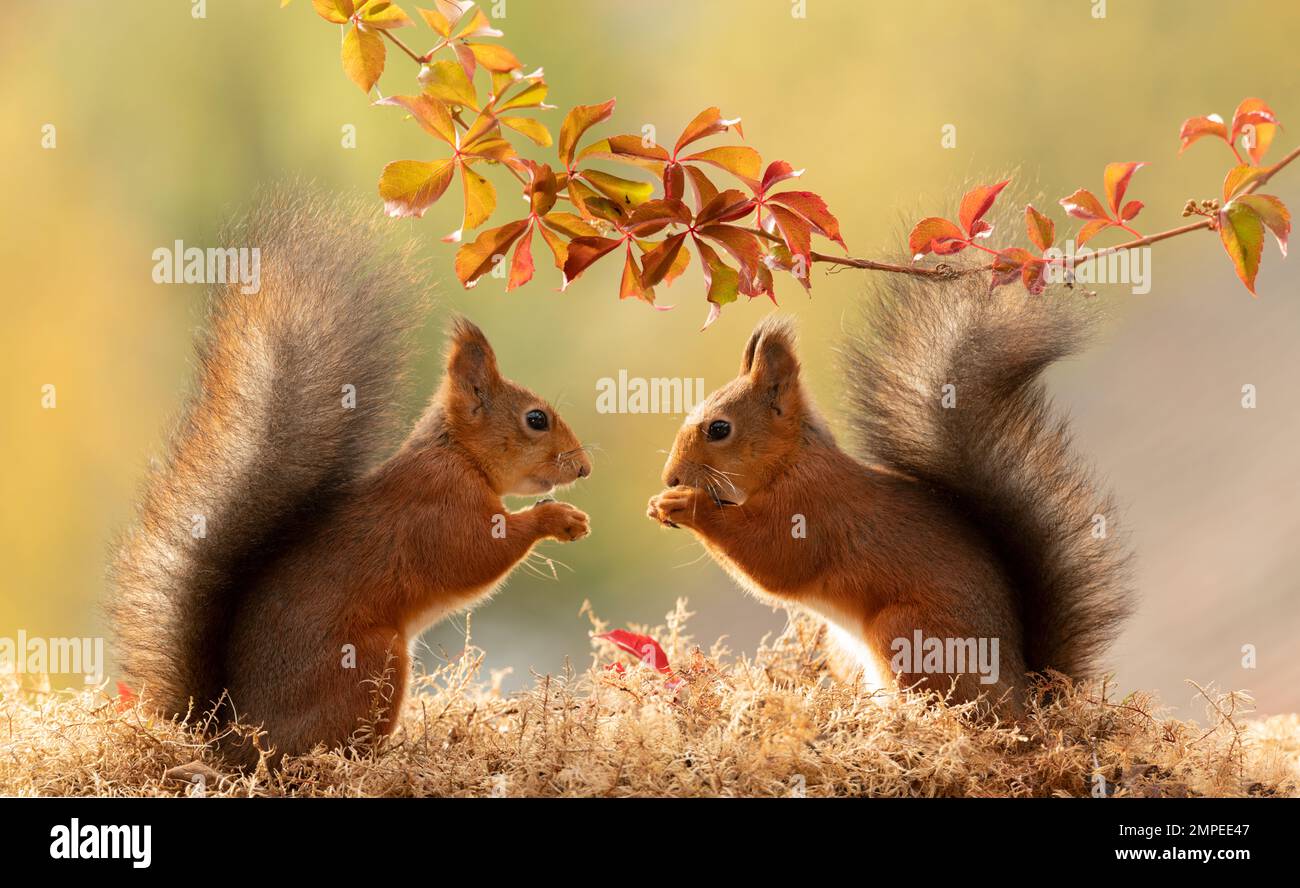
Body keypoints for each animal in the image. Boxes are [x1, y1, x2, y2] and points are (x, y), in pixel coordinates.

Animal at [109, 190, 592, 766]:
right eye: (536, 419)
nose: (584, 467)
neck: (458, 456)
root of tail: (231, 737)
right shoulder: (439, 508)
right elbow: (476, 555)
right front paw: (557, 518)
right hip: (371, 661)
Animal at [648, 273, 1133, 716]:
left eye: (719, 428)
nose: (670, 478)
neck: (790, 464)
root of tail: (1026, 700)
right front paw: (661, 504)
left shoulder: (813, 511)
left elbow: (774, 561)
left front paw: (685, 505)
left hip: (908, 633)